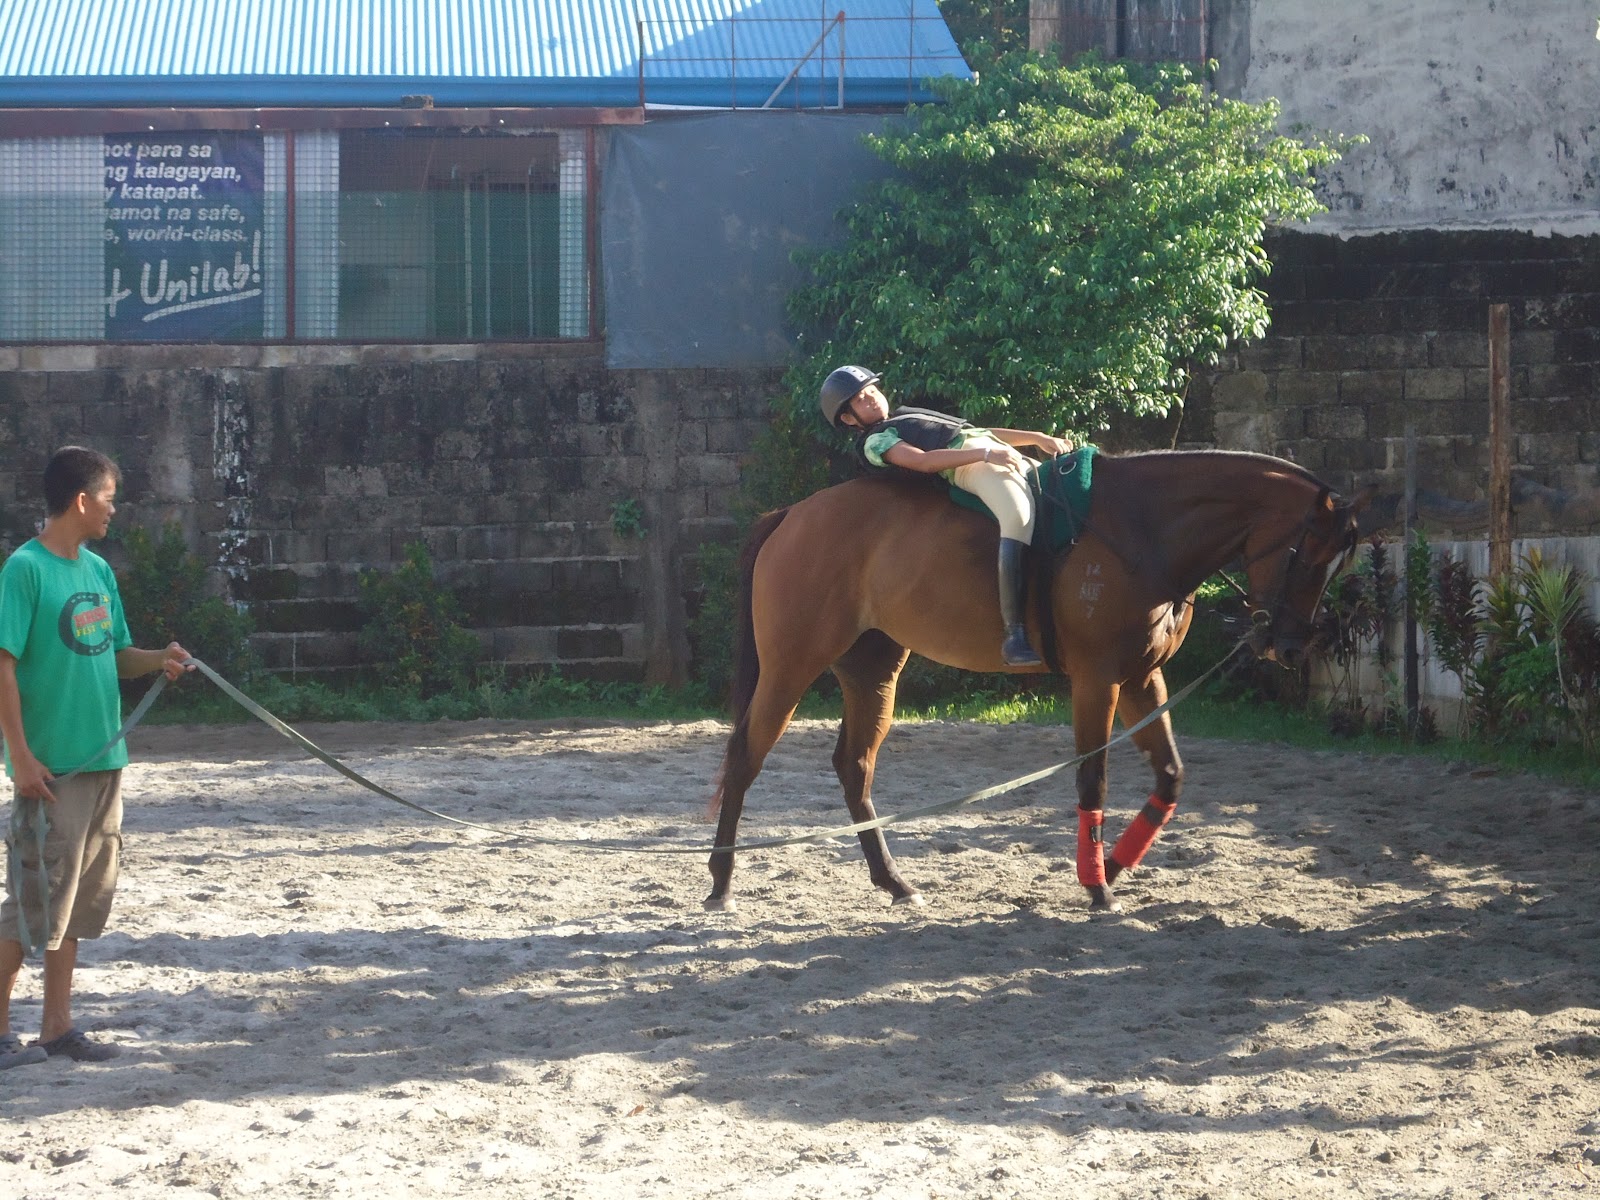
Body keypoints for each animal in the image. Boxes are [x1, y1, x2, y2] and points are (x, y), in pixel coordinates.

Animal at [705, 449, 1364, 913]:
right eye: (1308, 556)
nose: (1289, 645)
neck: (1141, 528)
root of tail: (794, 513)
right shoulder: (1098, 679)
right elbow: (1093, 779)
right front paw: (1097, 885)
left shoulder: (1141, 678)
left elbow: (1171, 776)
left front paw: (1114, 866)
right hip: (792, 664)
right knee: (745, 758)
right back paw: (721, 882)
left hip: (873, 674)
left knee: (854, 767)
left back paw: (893, 881)